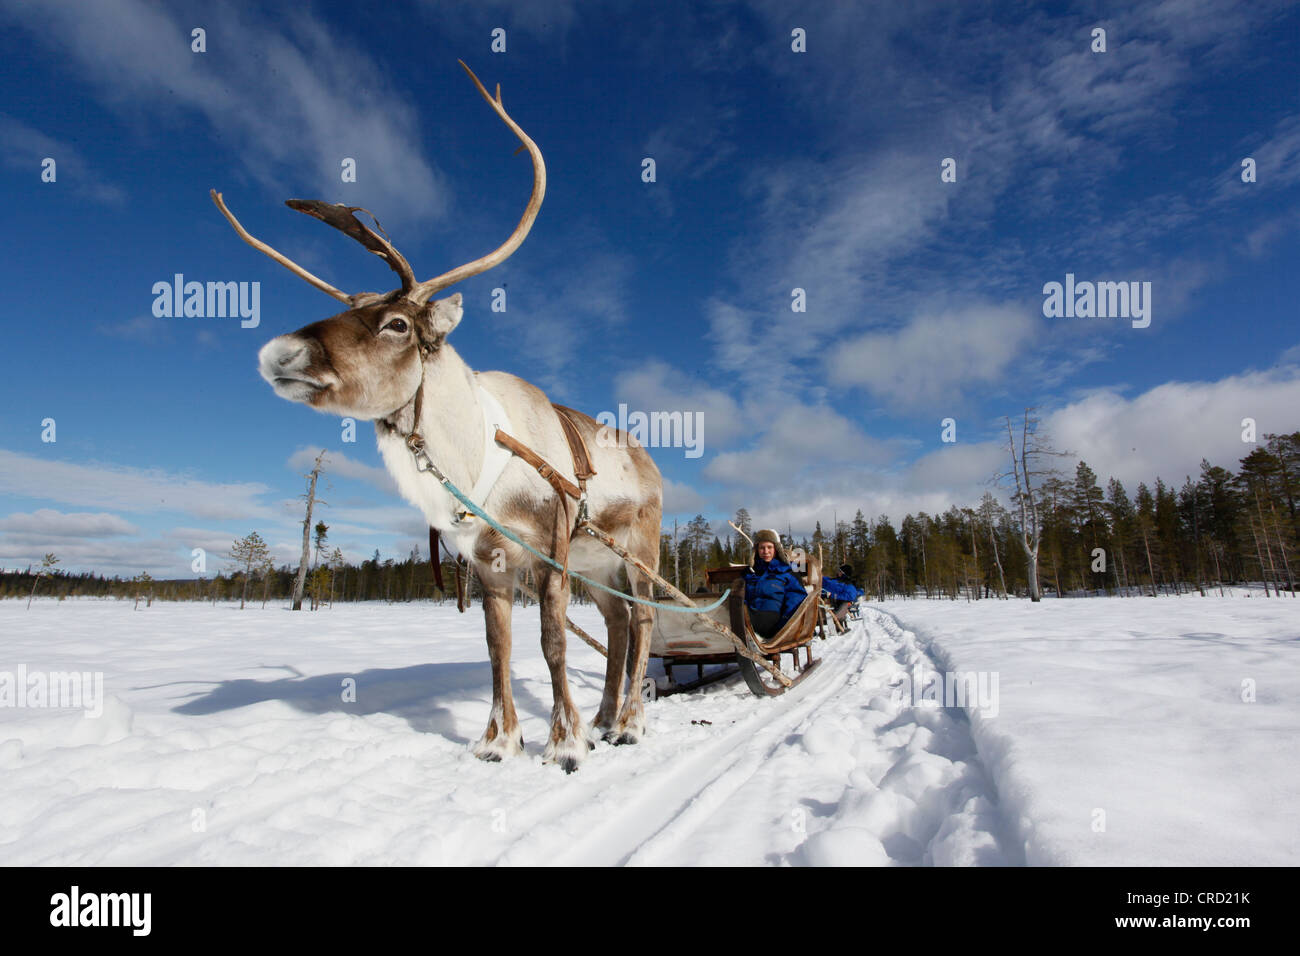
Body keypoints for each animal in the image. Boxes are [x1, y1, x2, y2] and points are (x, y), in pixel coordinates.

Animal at [211, 62, 662, 773]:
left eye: (397, 323)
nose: (279, 353)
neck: (474, 456)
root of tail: (653, 463)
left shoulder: (551, 552)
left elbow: (553, 643)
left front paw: (564, 745)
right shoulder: (487, 562)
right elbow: (498, 647)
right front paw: (499, 741)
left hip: (638, 555)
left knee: (642, 624)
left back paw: (630, 725)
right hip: (601, 566)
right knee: (617, 629)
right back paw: (603, 718)